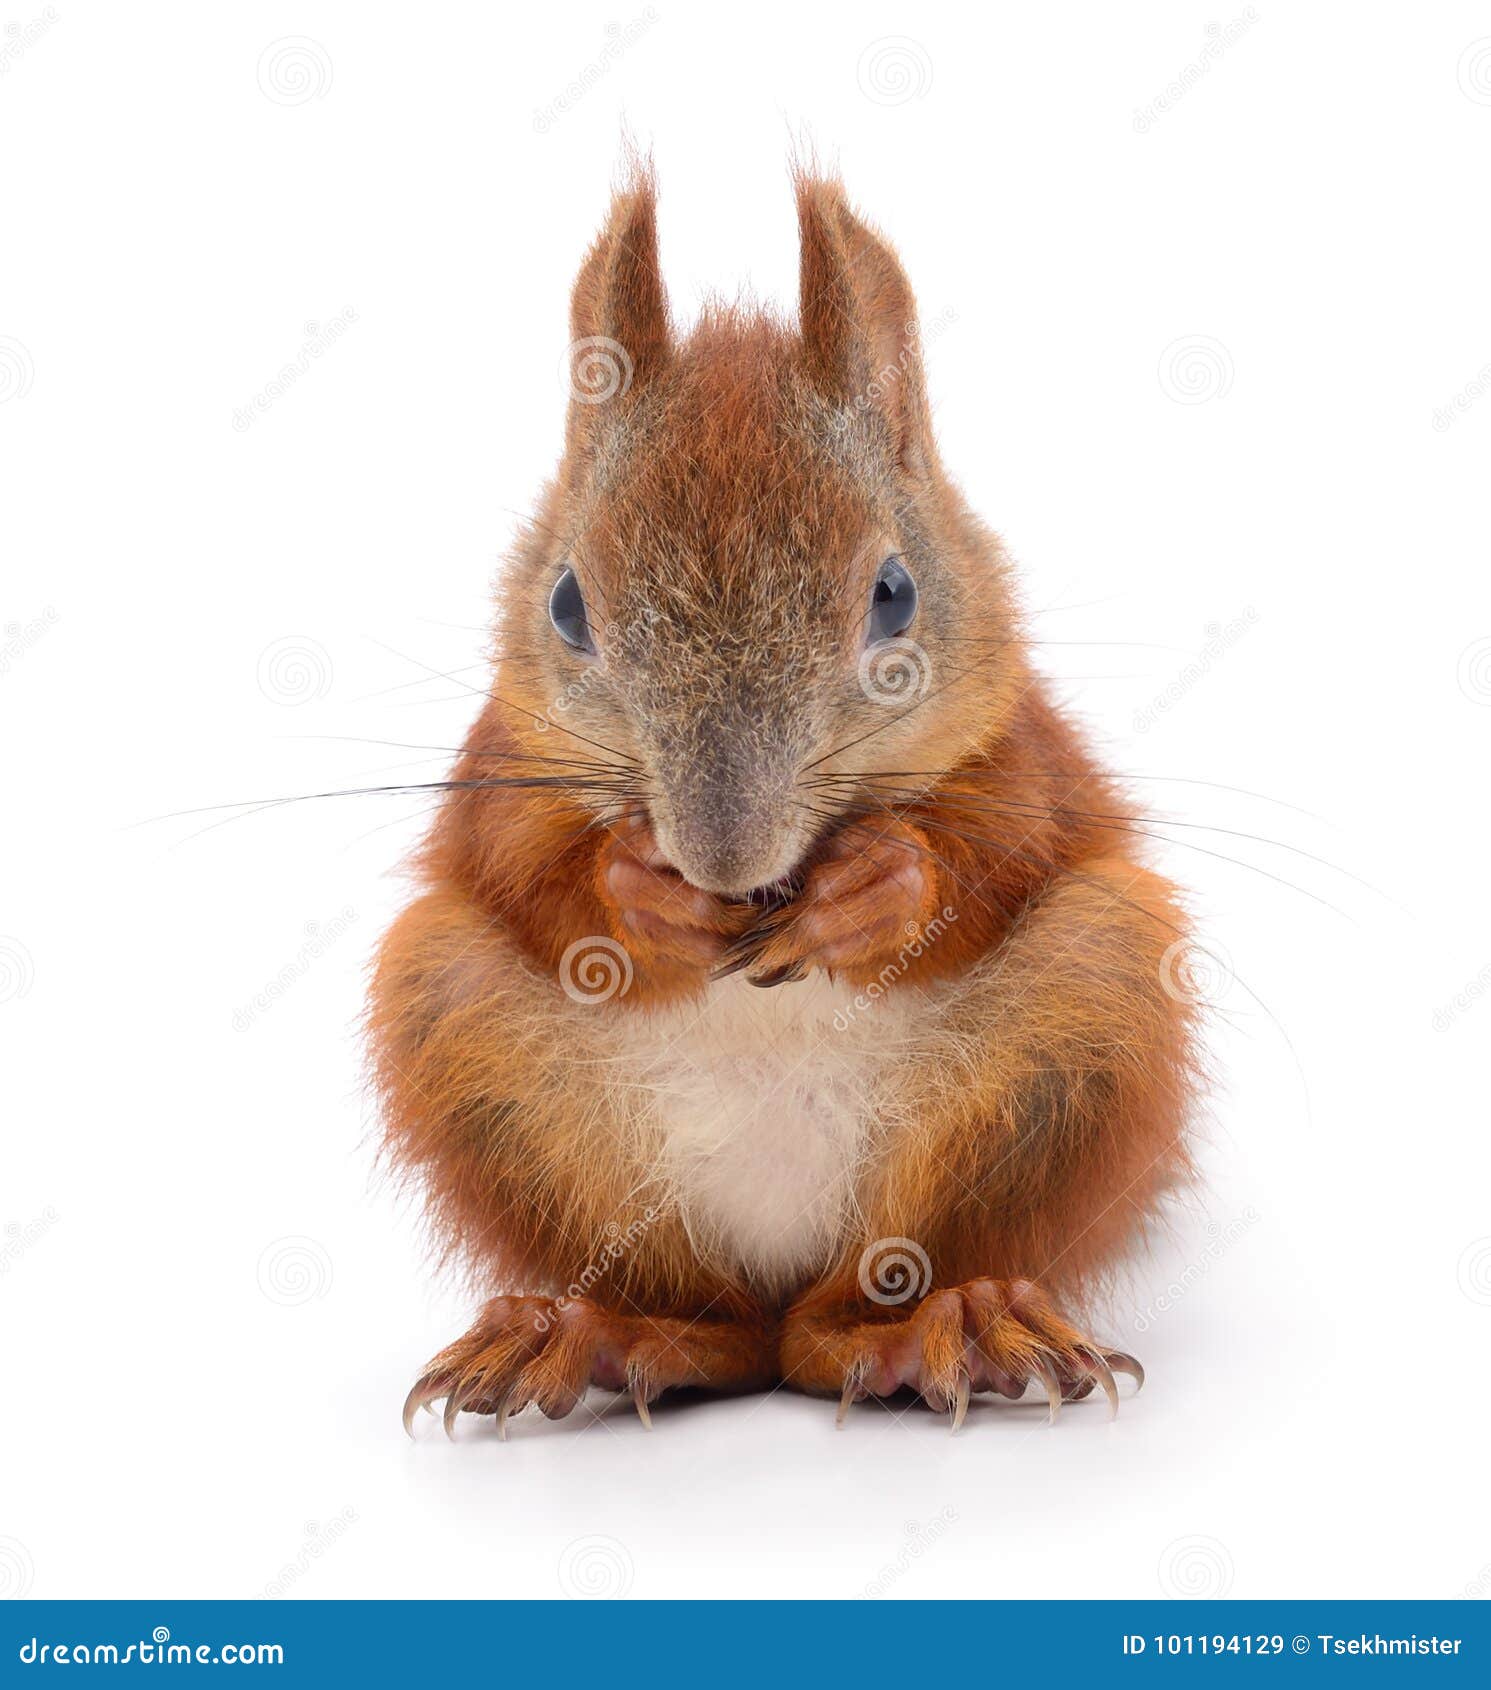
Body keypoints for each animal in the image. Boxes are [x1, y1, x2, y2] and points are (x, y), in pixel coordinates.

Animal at [371, 163, 1196, 1437]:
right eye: (565, 604)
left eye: (896, 592)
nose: (720, 853)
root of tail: (778, 1274)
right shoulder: (498, 762)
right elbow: (513, 861)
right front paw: (638, 892)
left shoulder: (1029, 749)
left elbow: (1014, 840)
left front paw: (880, 887)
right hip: (468, 1042)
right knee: (710, 1319)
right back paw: (605, 1334)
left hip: (1087, 1012)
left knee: (839, 1319)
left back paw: (941, 1326)